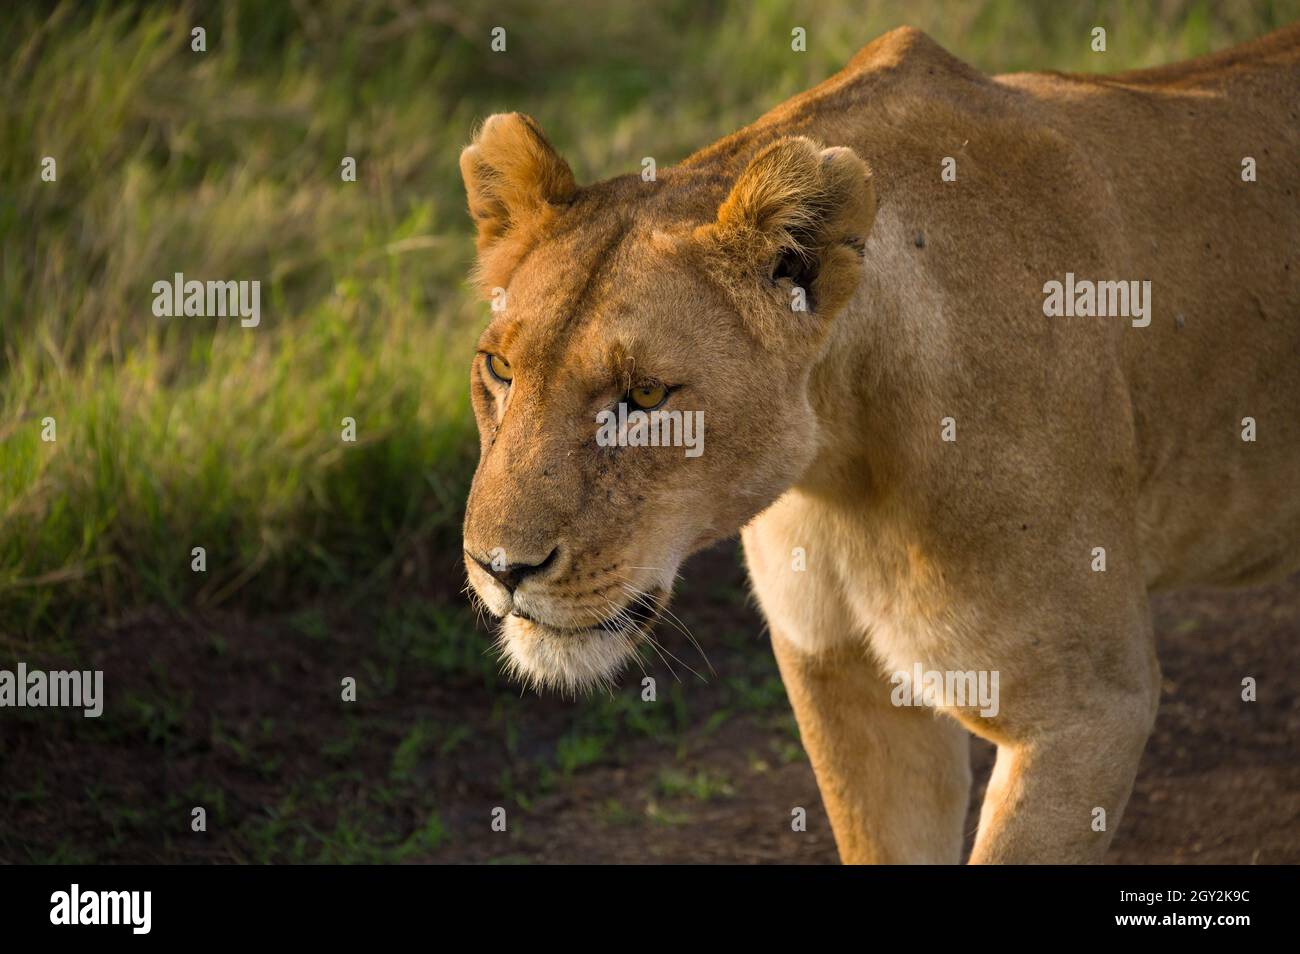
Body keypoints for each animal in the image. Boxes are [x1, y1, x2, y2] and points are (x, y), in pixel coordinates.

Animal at [459, 25, 1300, 863]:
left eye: (645, 397)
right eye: (499, 368)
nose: (500, 568)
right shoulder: (840, 676)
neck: (841, 468)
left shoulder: (1088, 710)